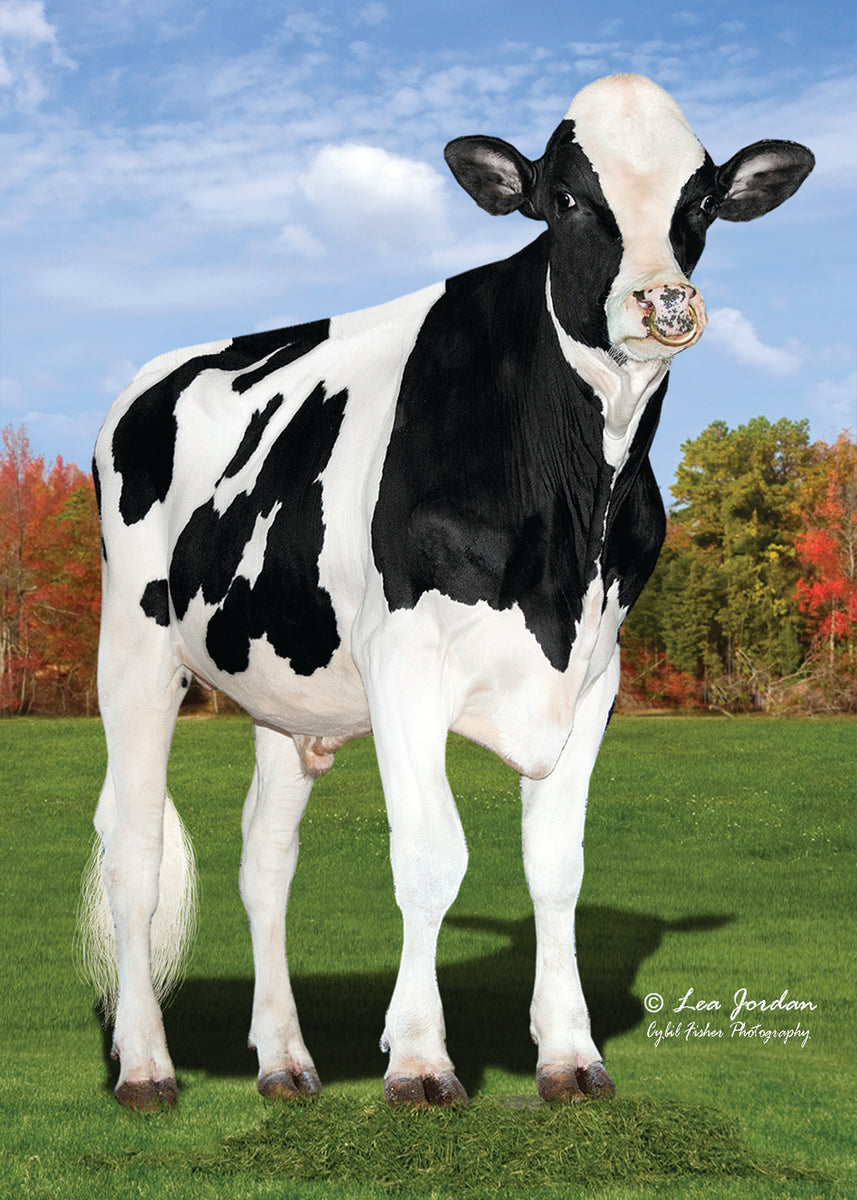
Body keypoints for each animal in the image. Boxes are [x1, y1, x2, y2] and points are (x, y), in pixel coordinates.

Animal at [79, 73, 813, 1112]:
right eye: (565, 198)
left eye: (700, 202)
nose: (663, 299)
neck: (570, 512)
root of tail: (153, 373)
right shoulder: (405, 663)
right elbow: (432, 858)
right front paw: (421, 1059)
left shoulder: (594, 674)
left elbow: (555, 869)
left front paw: (569, 1054)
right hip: (136, 648)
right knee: (133, 849)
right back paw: (145, 1064)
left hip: (282, 685)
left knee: (265, 859)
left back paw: (284, 1060)